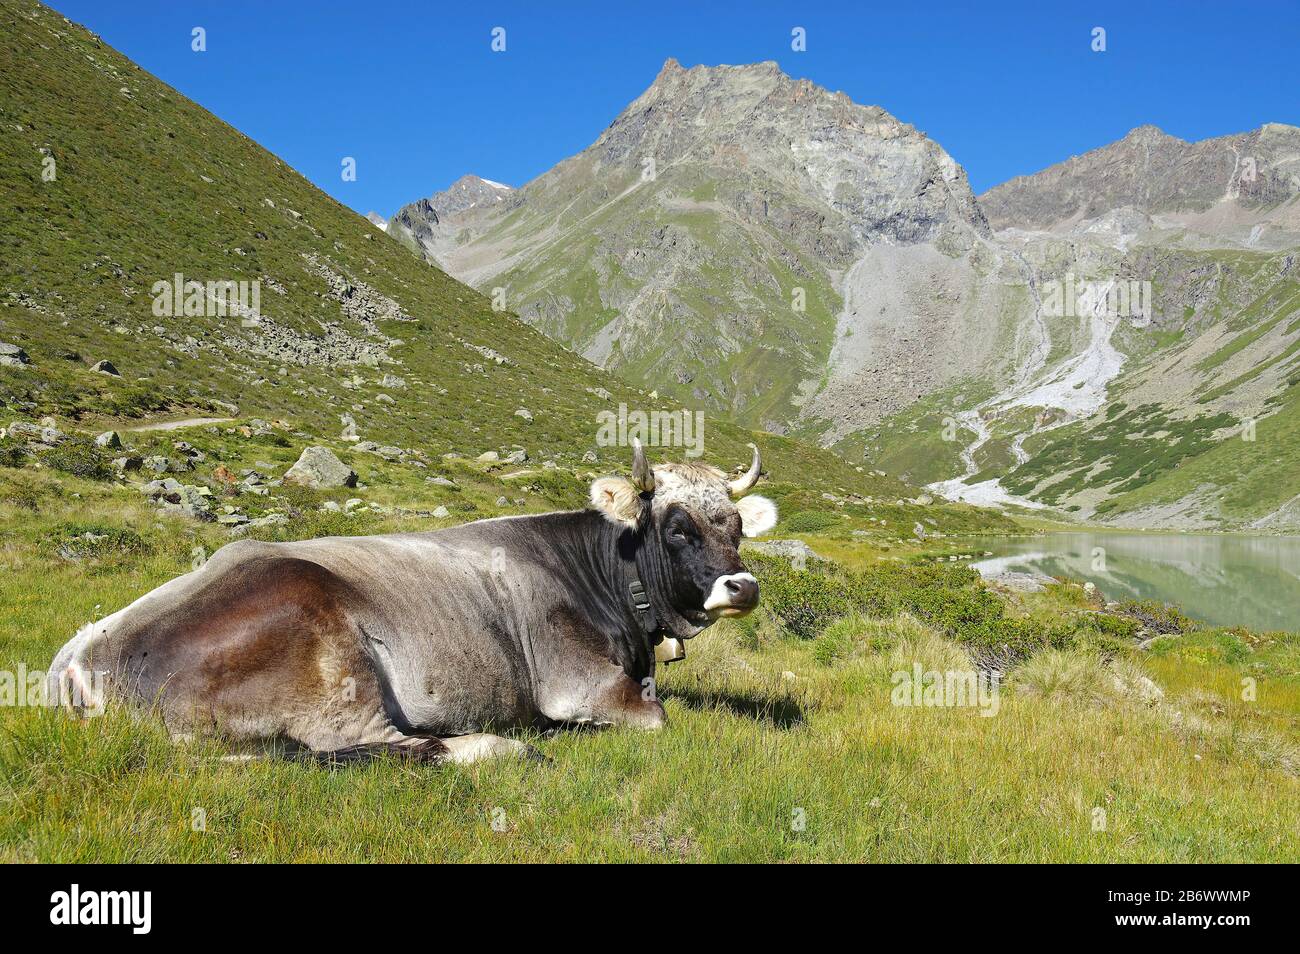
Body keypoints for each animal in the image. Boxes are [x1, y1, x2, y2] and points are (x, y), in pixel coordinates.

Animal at [48, 441, 777, 764]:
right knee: (388, 746)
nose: (741, 587)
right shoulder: (580, 683)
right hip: (328, 652)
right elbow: (655, 718)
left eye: (736, 527)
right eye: (678, 527)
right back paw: (501, 747)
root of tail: (87, 654)